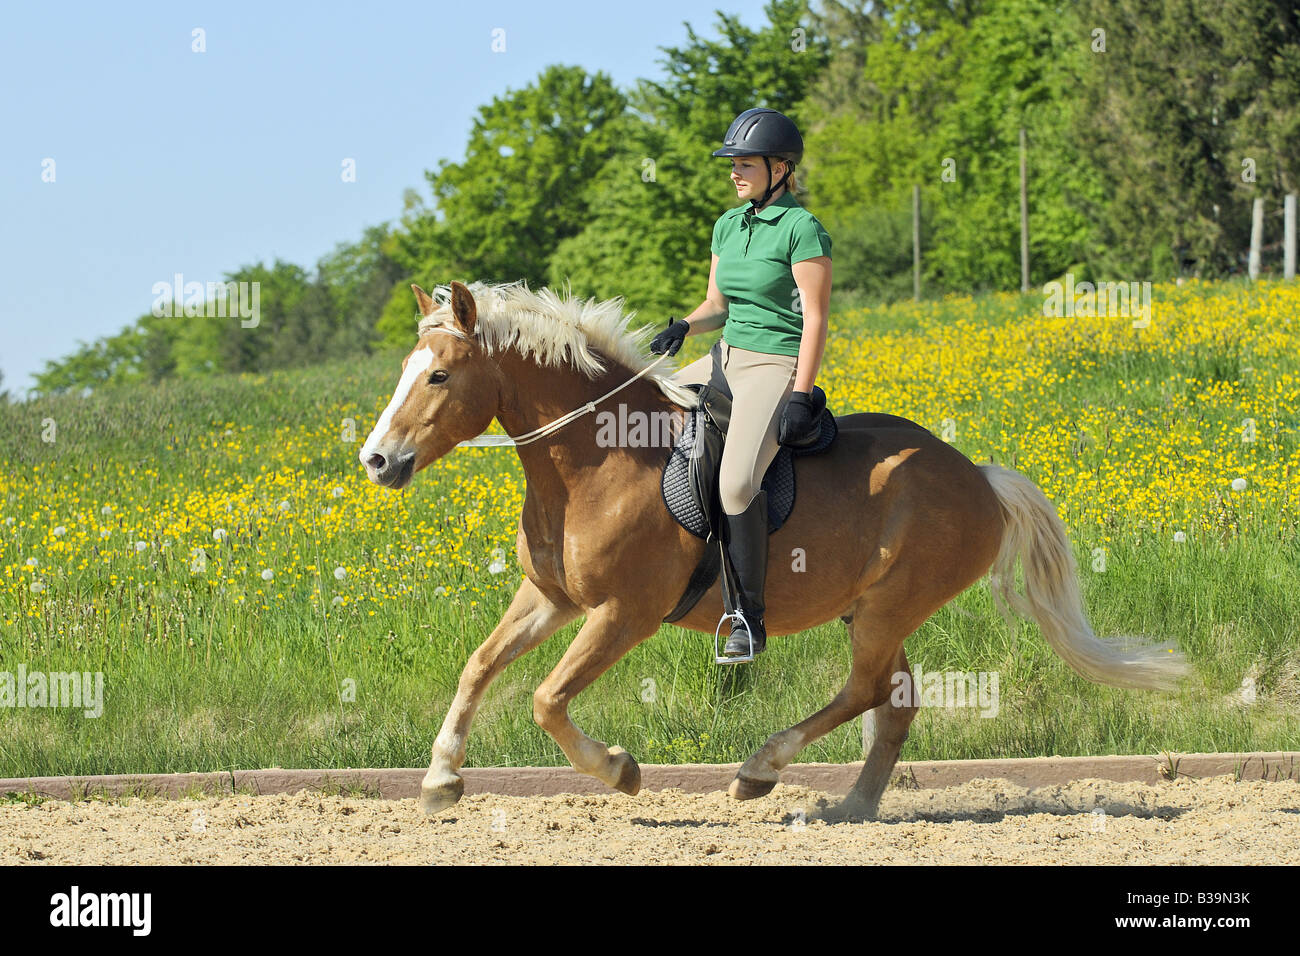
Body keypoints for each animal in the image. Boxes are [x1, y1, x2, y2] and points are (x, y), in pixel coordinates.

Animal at [359, 279, 1189, 819]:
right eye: (405, 371)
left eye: (439, 375)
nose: (376, 461)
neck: (596, 460)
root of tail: (977, 475)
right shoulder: (552, 598)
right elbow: (479, 666)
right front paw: (440, 780)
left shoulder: (622, 613)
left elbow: (545, 698)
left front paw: (621, 772)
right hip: (875, 609)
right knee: (894, 704)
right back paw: (850, 807)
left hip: (889, 607)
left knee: (864, 691)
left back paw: (760, 770)